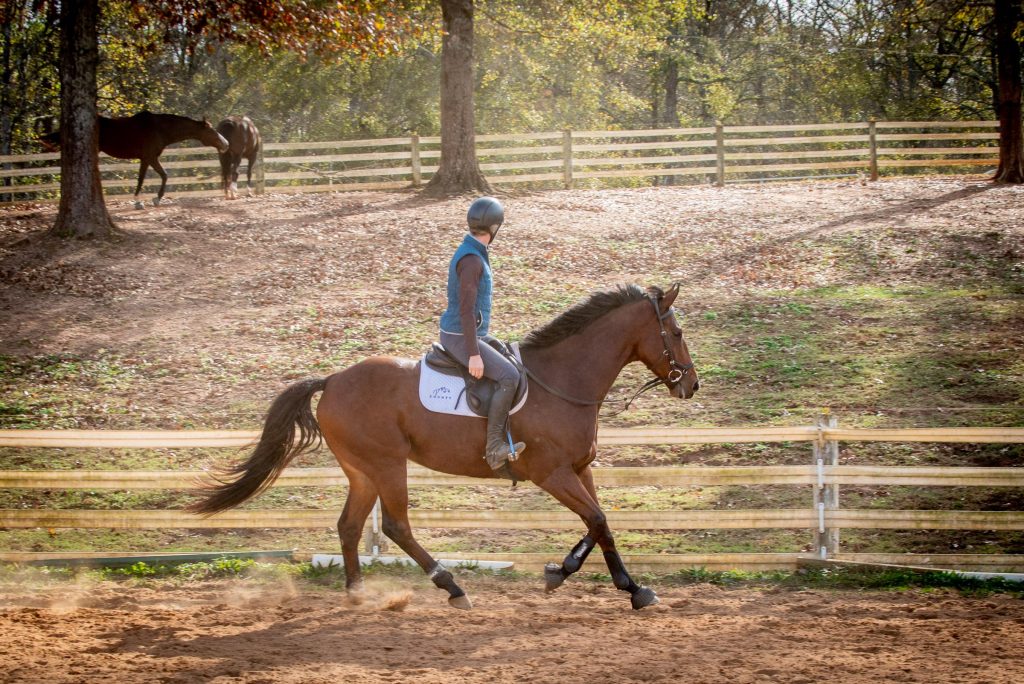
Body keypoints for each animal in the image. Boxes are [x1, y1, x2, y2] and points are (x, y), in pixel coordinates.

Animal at [39, 111, 229, 209]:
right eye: (211, 130)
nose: (226, 144)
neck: (159, 128)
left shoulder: (146, 159)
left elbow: (147, 178)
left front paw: (148, 199)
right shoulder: (150, 157)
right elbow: (158, 176)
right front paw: (147, 200)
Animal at [188, 283, 700, 610]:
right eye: (675, 334)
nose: (691, 384)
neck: (562, 380)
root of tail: (332, 380)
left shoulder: (580, 469)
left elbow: (600, 525)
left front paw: (578, 575)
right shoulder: (552, 473)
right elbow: (598, 520)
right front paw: (620, 586)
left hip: (362, 471)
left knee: (350, 526)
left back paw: (357, 593)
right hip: (387, 465)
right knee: (396, 526)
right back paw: (451, 587)